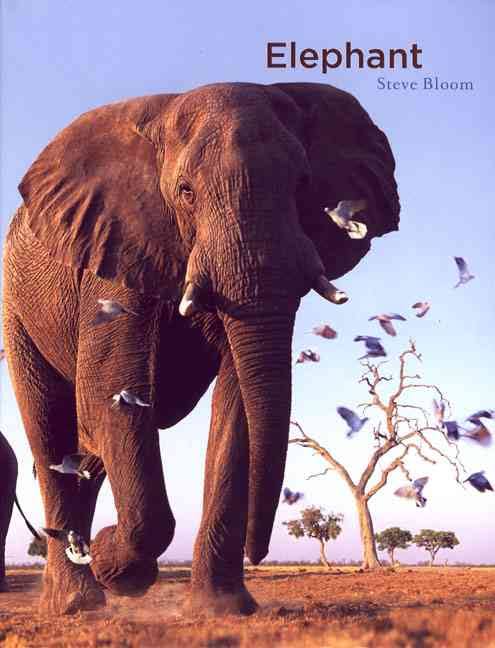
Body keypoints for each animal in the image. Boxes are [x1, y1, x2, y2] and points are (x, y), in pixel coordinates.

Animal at [2, 82, 400, 615]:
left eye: (301, 186)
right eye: (186, 192)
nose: (260, 552)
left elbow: (238, 407)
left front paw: (222, 609)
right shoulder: (116, 244)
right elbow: (110, 389)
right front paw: (114, 564)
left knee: (85, 457)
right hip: (17, 308)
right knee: (52, 434)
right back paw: (76, 604)